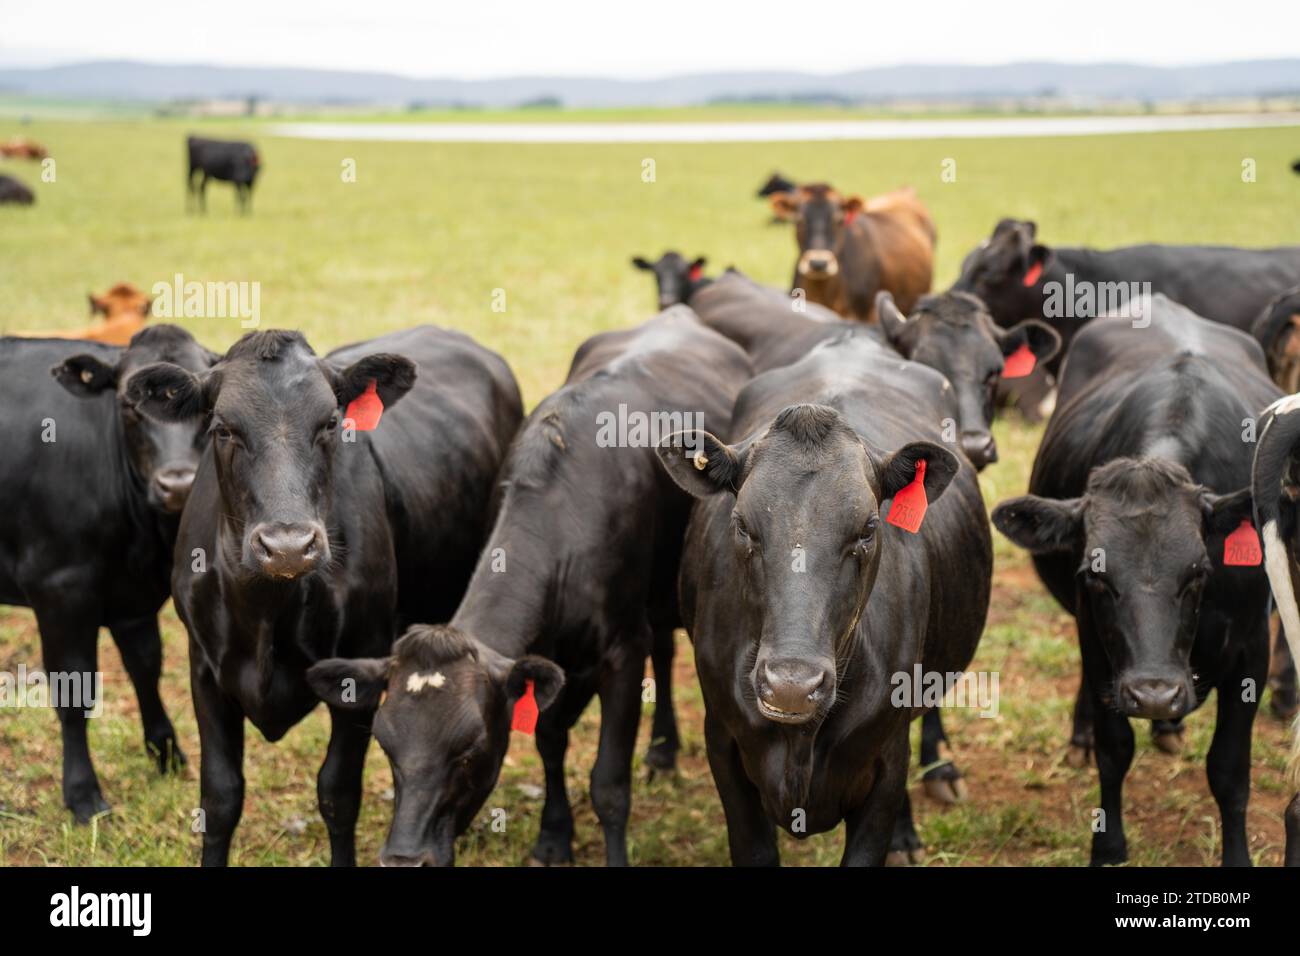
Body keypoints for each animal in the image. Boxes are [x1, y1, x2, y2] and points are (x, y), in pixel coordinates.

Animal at [0, 325, 215, 822]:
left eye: (205, 404)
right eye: (127, 405)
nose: (177, 484)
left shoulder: (132, 596)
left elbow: (146, 667)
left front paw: (166, 753)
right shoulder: (59, 588)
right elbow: (73, 690)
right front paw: (82, 793)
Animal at [125, 326, 522, 866]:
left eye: (331, 423)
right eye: (222, 428)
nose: (287, 546)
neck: (266, 611)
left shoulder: (362, 662)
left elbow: (337, 792)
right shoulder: (204, 667)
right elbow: (221, 796)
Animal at [306, 307, 753, 866]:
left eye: (470, 749)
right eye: (386, 745)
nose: (406, 857)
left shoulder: (623, 649)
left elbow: (609, 784)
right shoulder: (545, 664)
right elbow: (549, 742)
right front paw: (554, 835)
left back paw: (664, 750)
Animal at [991, 296, 1276, 866]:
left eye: (1199, 572)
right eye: (1095, 576)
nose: (1154, 694)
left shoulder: (1252, 650)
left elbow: (1230, 771)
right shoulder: (1099, 646)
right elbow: (1114, 749)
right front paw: (1108, 846)